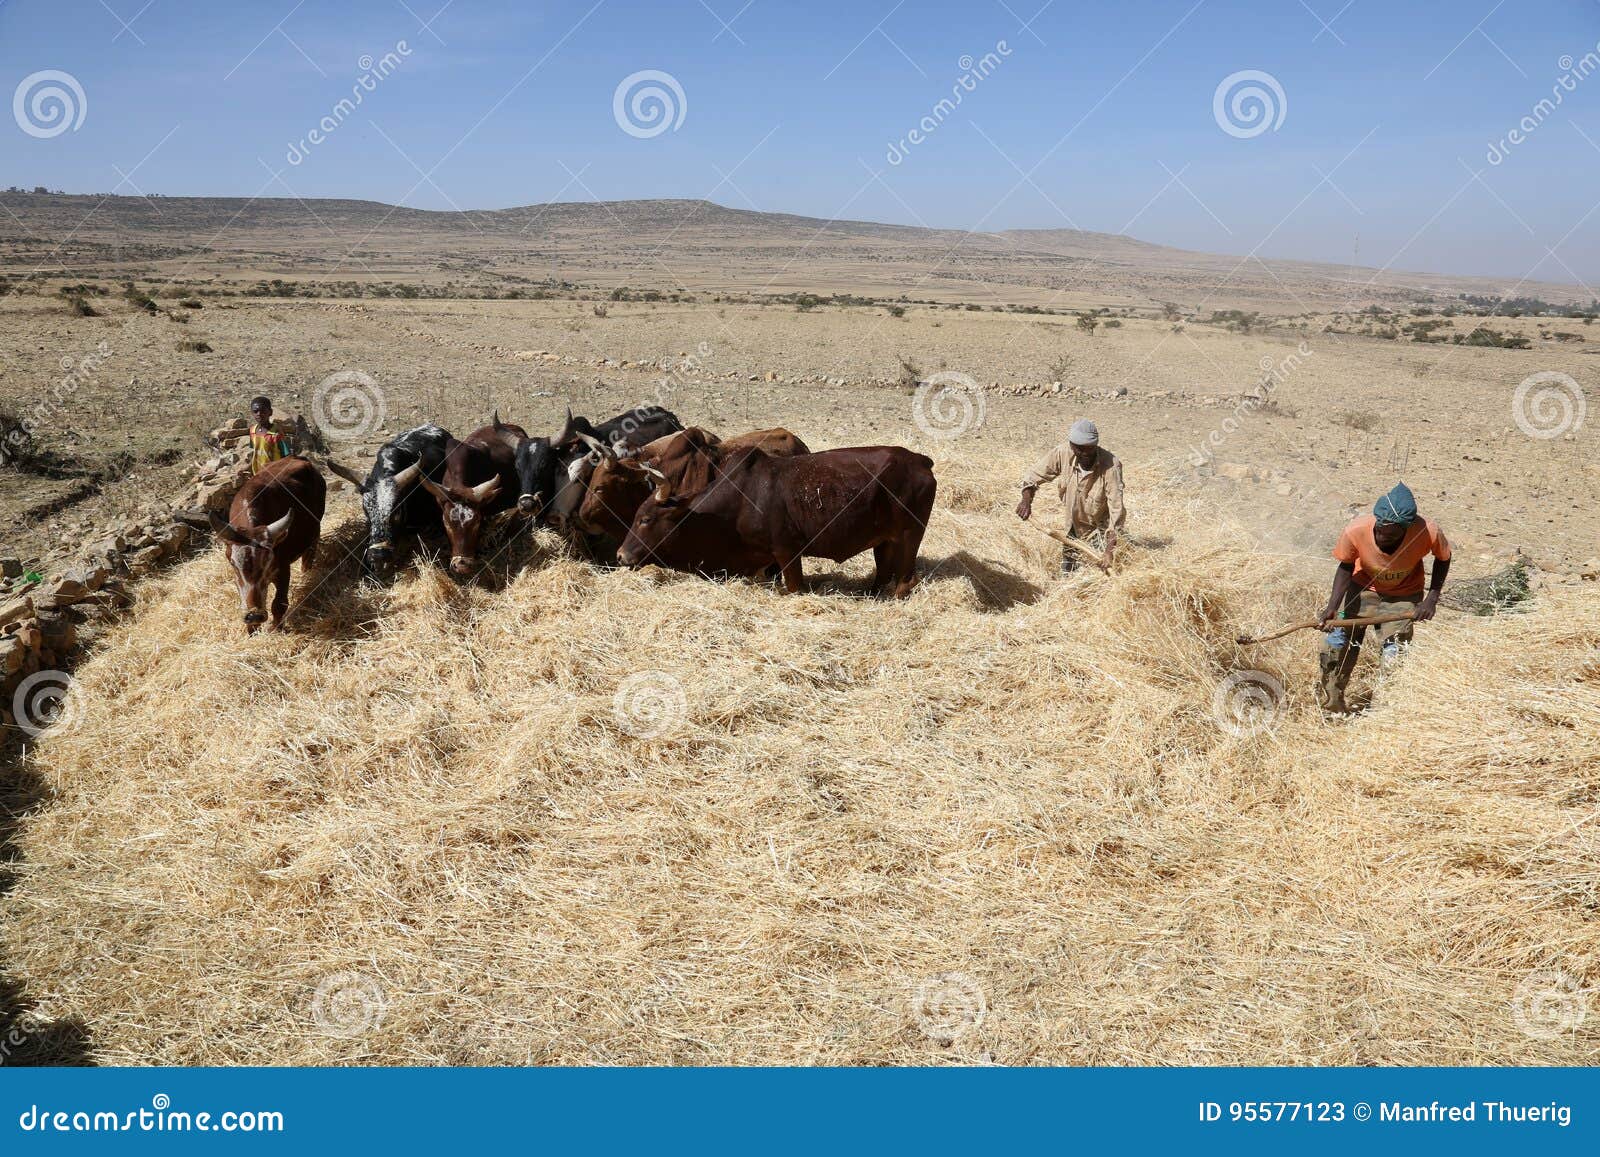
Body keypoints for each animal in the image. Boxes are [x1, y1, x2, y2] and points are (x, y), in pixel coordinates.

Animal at [210, 455, 326, 633]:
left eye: (268, 562)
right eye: (233, 563)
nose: (254, 615)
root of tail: (297, 457)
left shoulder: (283, 569)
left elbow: (279, 604)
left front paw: (275, 628)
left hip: (315, 528)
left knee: (309, 554)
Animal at [618, 445, 935, 598]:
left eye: (645, 519)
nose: (621, 556)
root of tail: (919, 460)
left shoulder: (787, 552)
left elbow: (793, 588)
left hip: (911, 535)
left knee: (906, 578)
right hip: (884, 540)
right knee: (882, 571)